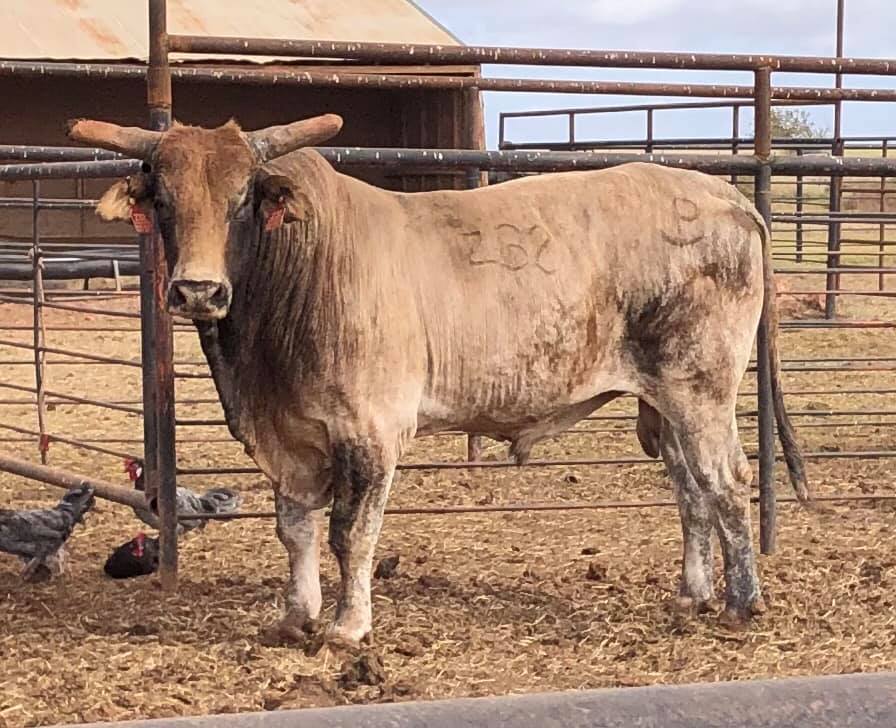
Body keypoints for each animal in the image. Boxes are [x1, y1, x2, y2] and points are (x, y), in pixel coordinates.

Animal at [68, 114, 810, 647]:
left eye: (241, 197)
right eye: (163, 198)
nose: (198, 289)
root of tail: (725, 195)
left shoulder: (370, 431)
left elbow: (350, 534)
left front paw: (347, 628)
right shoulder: (290, 439)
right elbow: (296, 529)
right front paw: (295, 617)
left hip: (701, 387)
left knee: (727, 482)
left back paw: (743, 603)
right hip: (665, 401)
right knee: (691, 491)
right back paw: (692, 594)